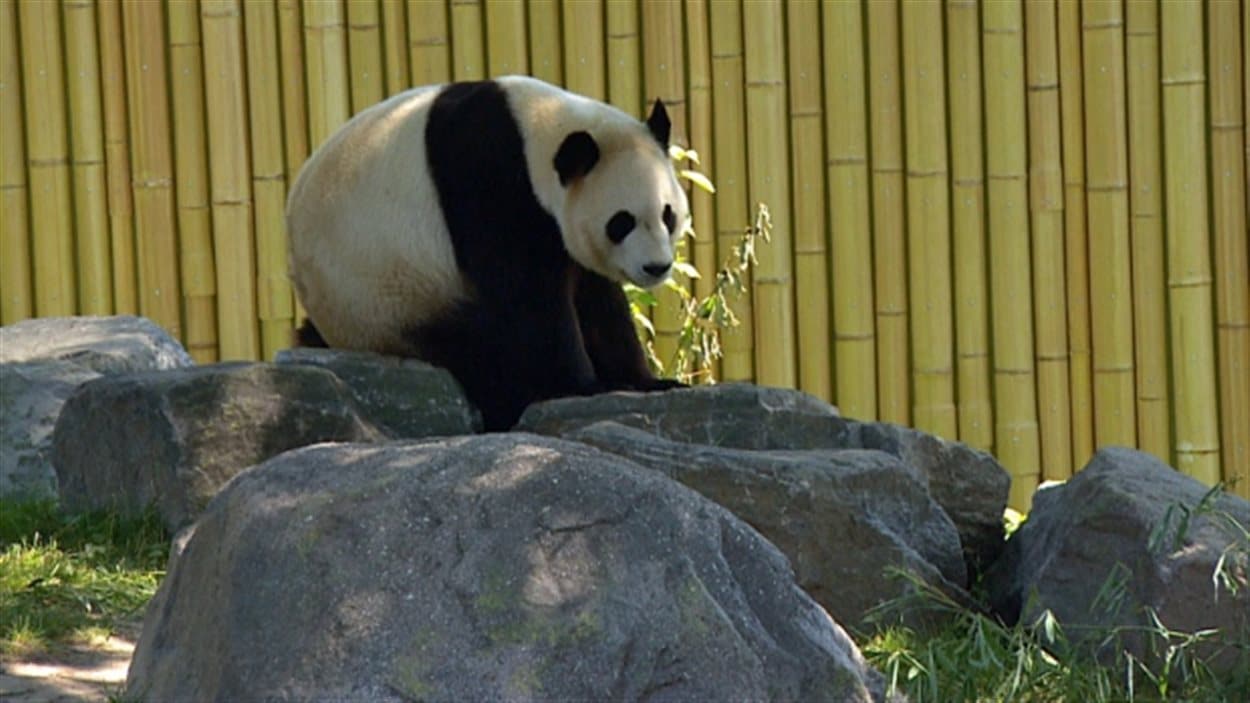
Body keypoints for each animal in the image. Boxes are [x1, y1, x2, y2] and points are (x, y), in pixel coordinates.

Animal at [286, 76, 690, 431]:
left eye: (667, 215)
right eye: (622, 222)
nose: (656, 267)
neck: (534, 135)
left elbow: (599, 301)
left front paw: (647, 381)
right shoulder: (489, 187)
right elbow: (530, 304)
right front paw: (587, 386)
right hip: (388, 298)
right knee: (480, 351)